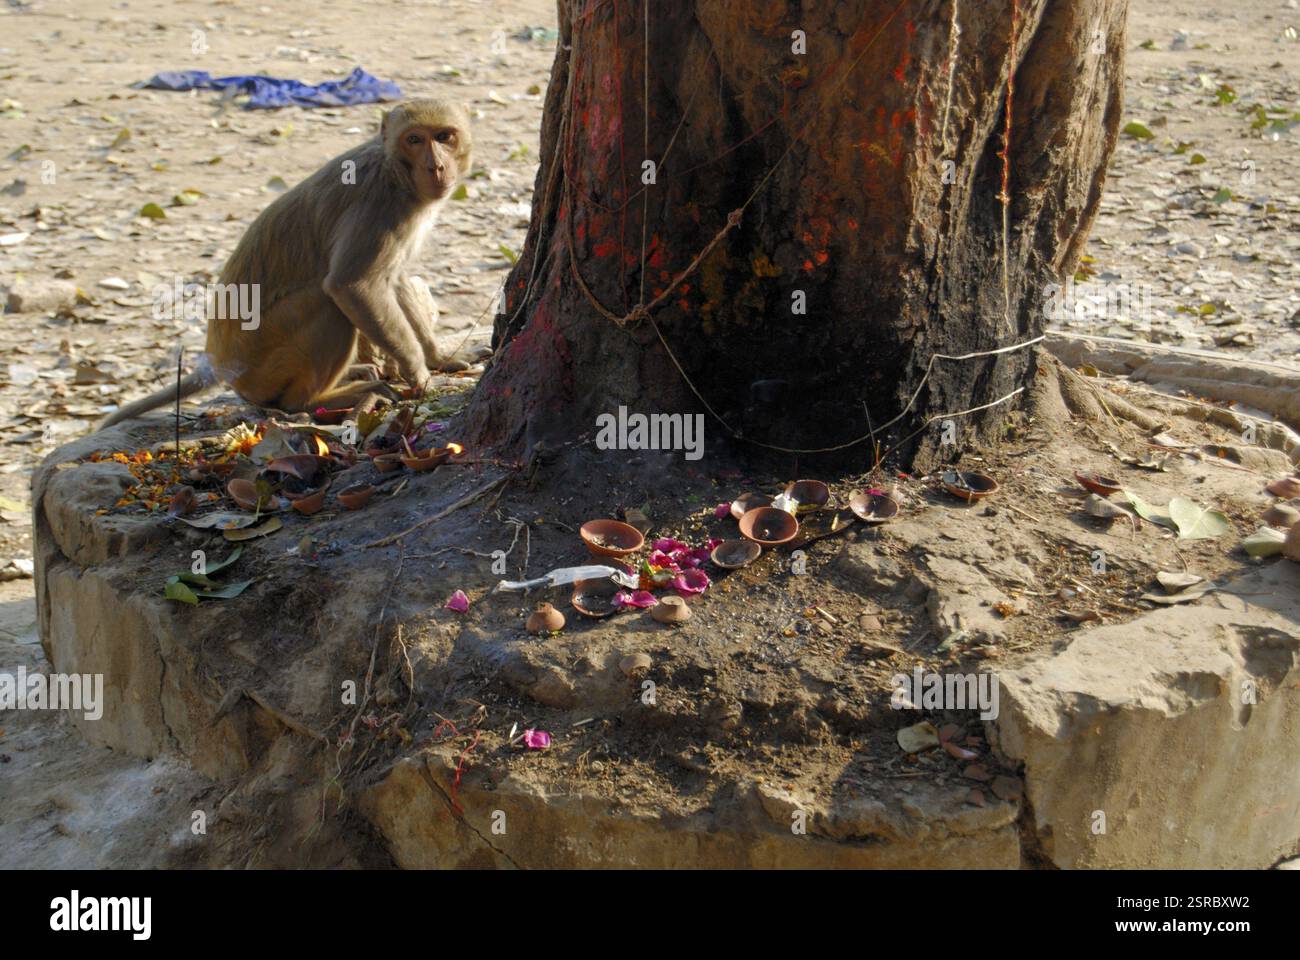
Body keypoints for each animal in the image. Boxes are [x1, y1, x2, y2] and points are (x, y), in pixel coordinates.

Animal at [101, 98, 474, 428]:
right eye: (414, 140)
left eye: (444, 136)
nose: (436, 166)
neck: (396, 171)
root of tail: (217, 364)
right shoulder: (380, 205)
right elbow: (353, 285)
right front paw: (419, 373)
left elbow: (394, 280)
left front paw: (436, 356)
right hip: (259, 366)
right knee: (327, 304)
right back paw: (314, 400)